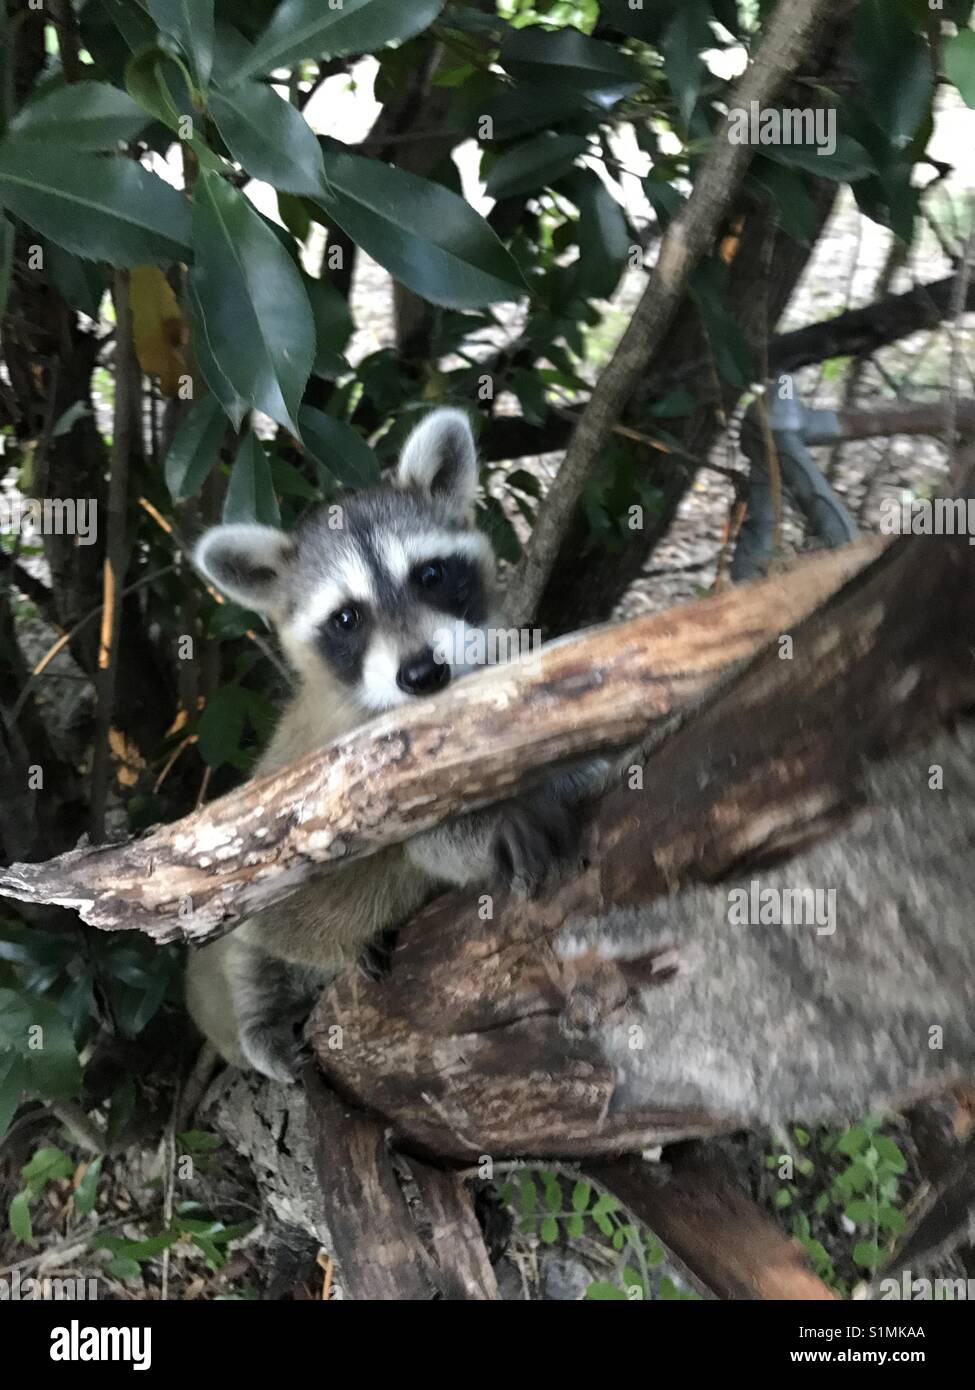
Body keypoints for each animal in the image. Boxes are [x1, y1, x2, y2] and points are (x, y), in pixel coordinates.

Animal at [185, 408, 583, 1082]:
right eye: (347, 618)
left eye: (431, 575)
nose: (423, 674)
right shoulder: (347, 778)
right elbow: (422, 843)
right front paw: (492, 824)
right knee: (253, 946)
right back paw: (261, 1016)